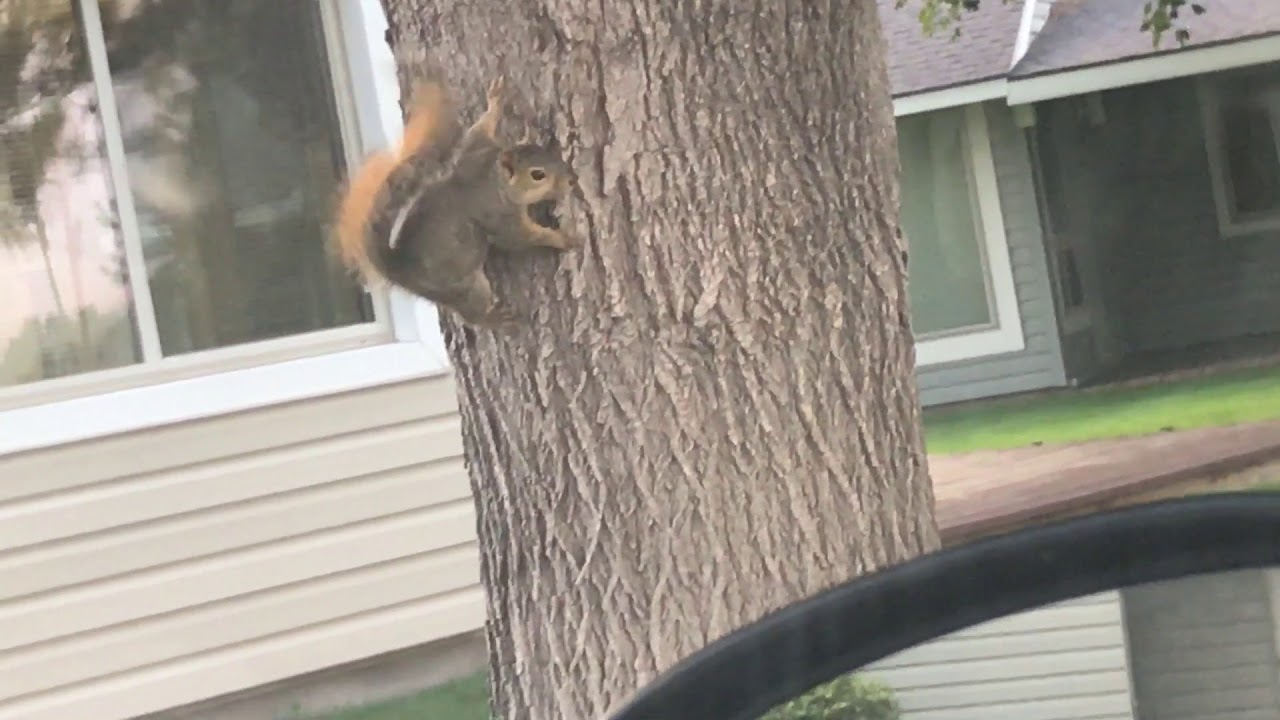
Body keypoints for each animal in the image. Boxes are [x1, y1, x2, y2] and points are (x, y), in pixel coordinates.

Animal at [332, 76, 579, 328]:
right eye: (538, 175)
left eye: (544, 151)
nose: (572, 179)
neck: (494, 178)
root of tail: (400, 271)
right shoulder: (500, 216)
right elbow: (522, 238)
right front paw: (562, 238)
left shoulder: (477, 150)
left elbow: (479, 129)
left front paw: (496, 102)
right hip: (465, 287)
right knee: (471, 314)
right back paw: (494, 320)